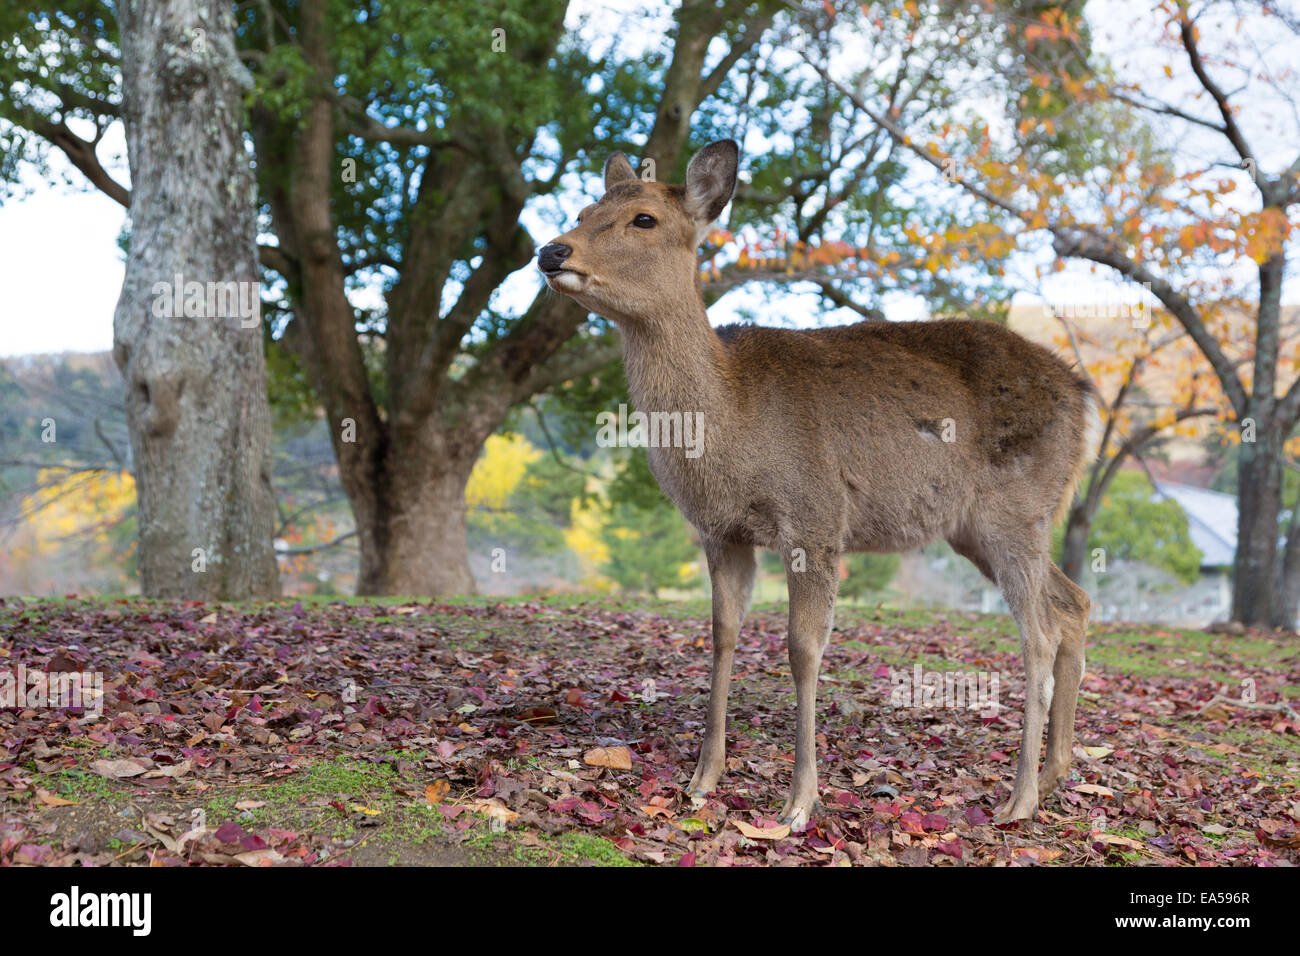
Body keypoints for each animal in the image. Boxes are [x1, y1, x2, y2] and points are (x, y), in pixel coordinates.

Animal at [537, 139, 1099, 827]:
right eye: (585, 209)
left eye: (644, 218)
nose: (551, 251)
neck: (729, 424)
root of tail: (1082, 393)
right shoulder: (721, 531)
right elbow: (723, 635)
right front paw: (702, 779)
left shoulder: (816, 517)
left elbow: (803, 649)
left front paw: (798, 801)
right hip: (983, 526)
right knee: (1073, 603)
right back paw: (1054, 774)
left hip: (1015, 509)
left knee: (1038, 633)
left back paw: (1018, 799)